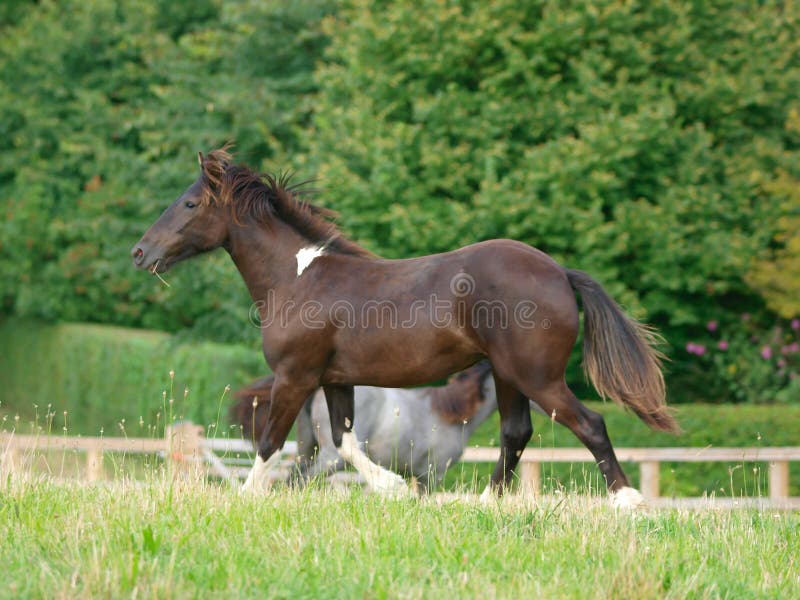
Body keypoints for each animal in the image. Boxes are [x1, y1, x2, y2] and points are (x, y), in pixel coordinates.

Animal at [231, 361, 498, 493]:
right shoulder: (431, 476)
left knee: (293, 478)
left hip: (306, 449)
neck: (450, 415)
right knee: (302, 480)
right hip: (332, 458)